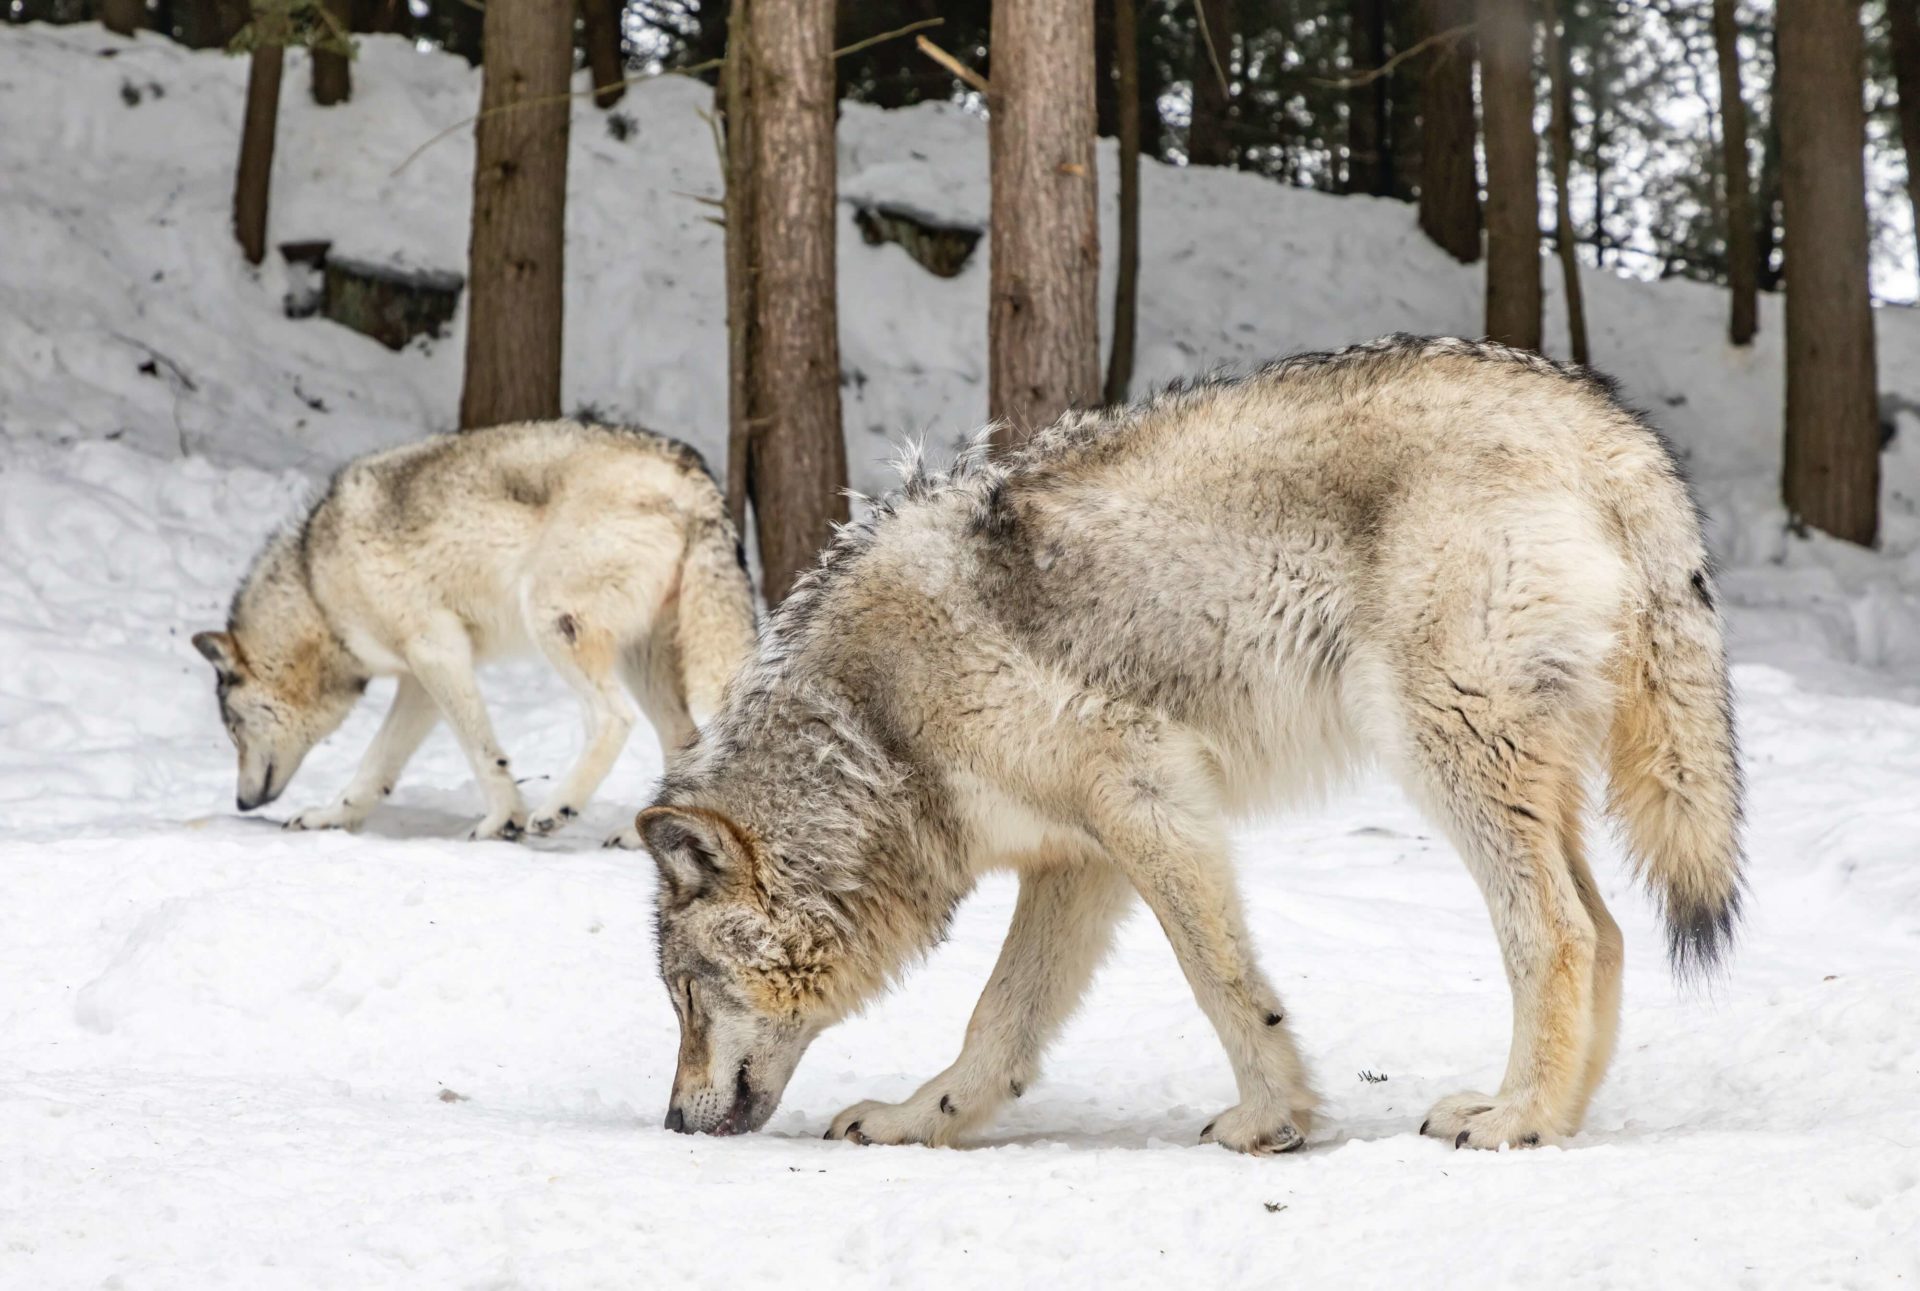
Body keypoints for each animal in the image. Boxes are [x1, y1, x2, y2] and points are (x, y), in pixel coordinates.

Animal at [193, 420, 756, 842]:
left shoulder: (437, 650)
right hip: (640, 660)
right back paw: (639, 835)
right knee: (683, 739)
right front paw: (331, 817)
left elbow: (482, 748)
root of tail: (692, 474)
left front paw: (503, 821)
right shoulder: (418, 680)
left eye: (233, 730)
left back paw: (557, 809)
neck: (316, 586)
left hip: (555, 624)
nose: (241, 802)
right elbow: (375, 765)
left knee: (613, 719)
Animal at [634, 337, 1745, 1154]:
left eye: (685, 995)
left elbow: (1222, 981)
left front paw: (1272, 1120)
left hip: (1447, 755)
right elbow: (999, 1020)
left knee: (1557, 932)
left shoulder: (1147, 795)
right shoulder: (1077, 858)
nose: (674, 1120)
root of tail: (1608, 427)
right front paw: (920, 1118)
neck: (876, 724)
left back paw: (1514, 1118)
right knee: (1607, 931)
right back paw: (1557, 1120)